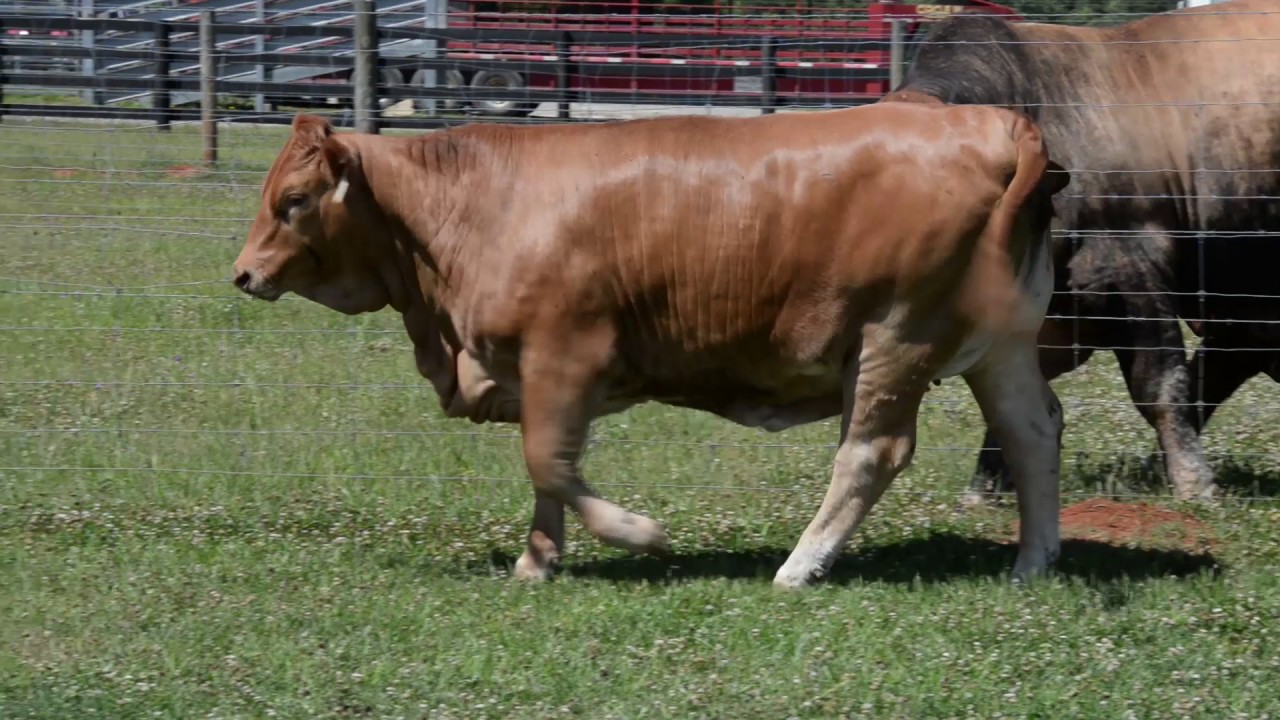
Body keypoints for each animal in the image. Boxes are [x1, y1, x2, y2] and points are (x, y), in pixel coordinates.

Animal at [231, 104, 1069, 587]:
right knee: (1033, 431)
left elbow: (549, 460)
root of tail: (991, 121)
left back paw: (800, 565)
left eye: (294, 201)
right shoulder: (538, 372)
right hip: (1002, 345)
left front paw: (640, 535)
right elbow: (546, 471)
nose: (243, 273)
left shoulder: (566, 352)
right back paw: (1034, 561)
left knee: (872, 453)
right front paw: (537, 560)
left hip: (893, 337)